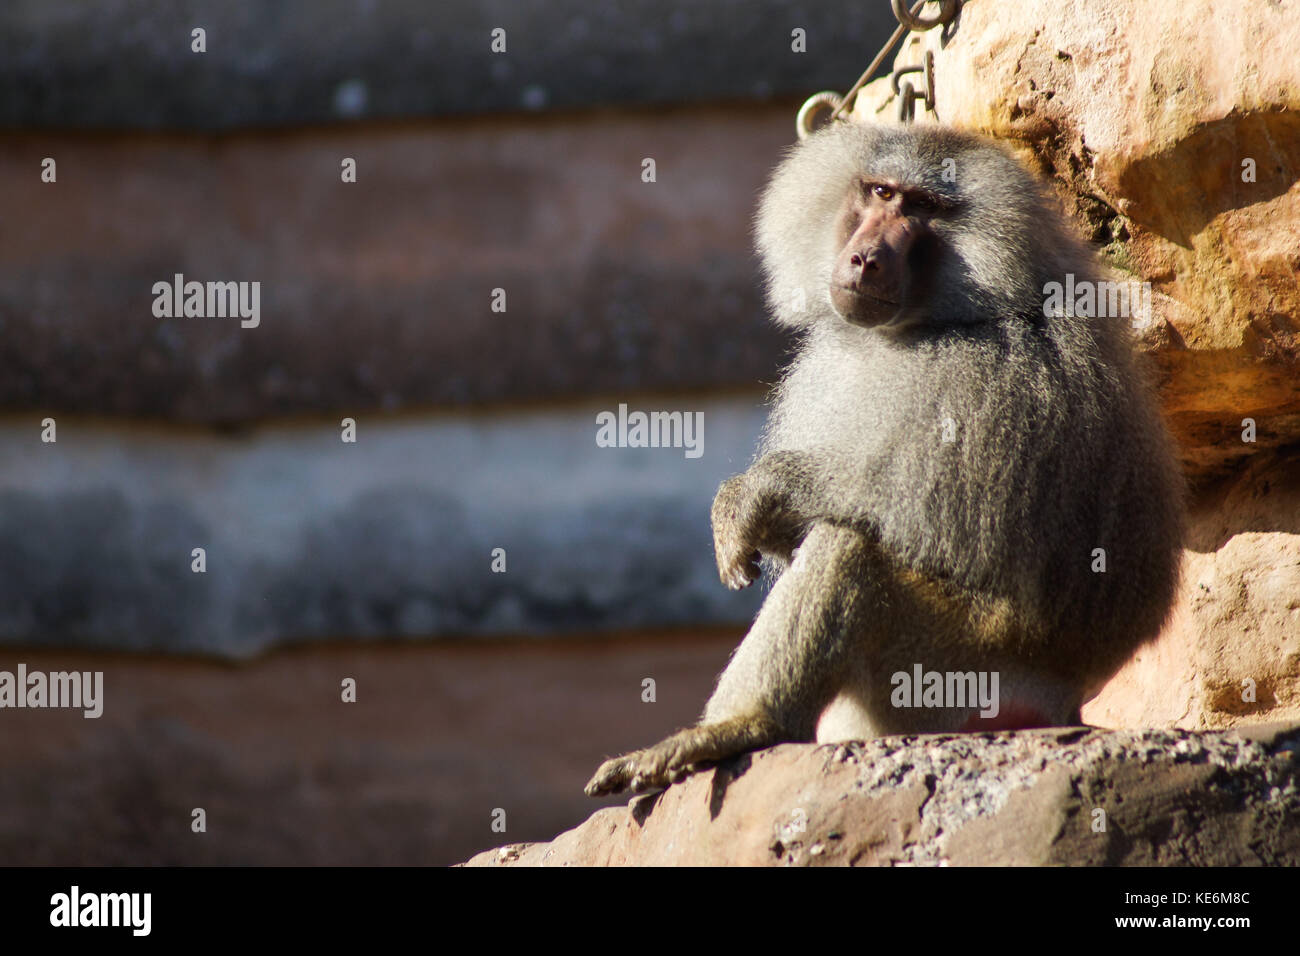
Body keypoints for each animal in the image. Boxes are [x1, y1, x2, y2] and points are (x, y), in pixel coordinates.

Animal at [585, 122, 1185, 797]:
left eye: (923, 207)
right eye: (879, 192)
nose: (865, 258)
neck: (933, 319)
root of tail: (1063, 702)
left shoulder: (999, 375)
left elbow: (937, 519)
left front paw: (759, 490)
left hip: (958, 670)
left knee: (850, 552)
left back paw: (738, 727)